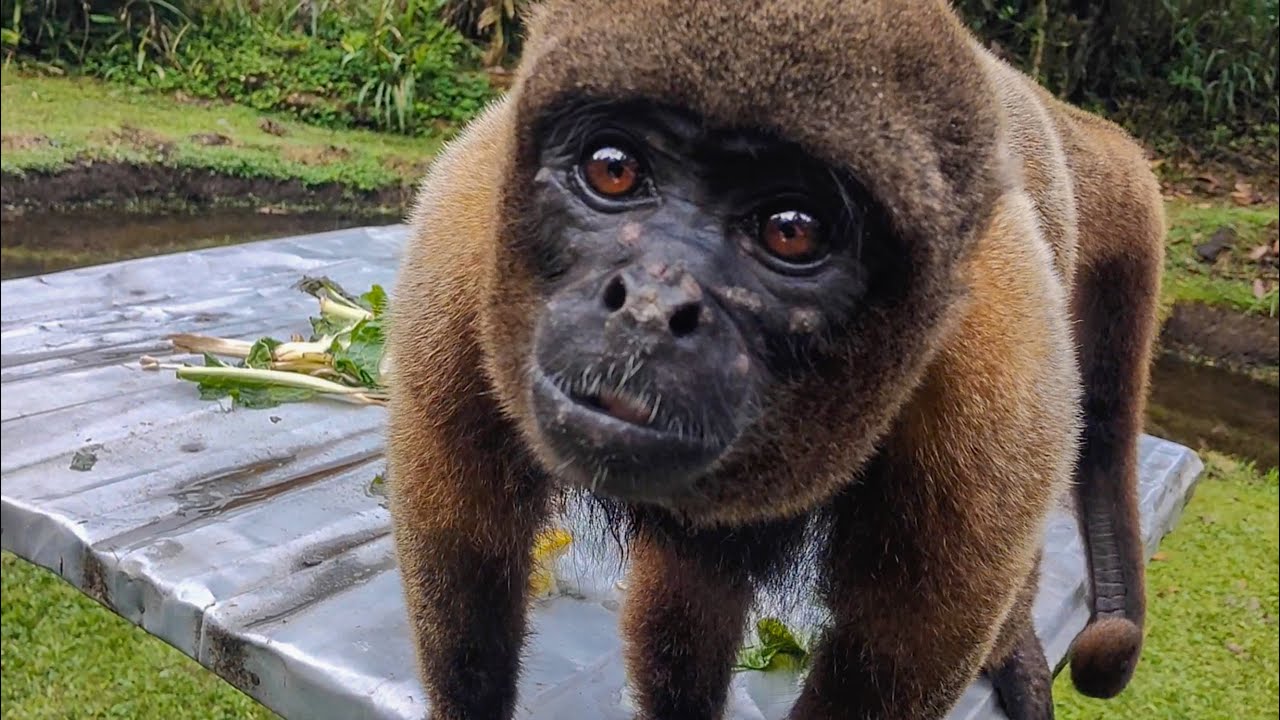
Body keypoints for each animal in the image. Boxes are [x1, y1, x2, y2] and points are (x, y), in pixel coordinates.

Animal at [384, 2, 1165, 719]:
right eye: (613, 171)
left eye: (791, 232)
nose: (650, 306)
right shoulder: (458, 239)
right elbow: (462, 537)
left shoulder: (1004, 396)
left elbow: (897, 654)